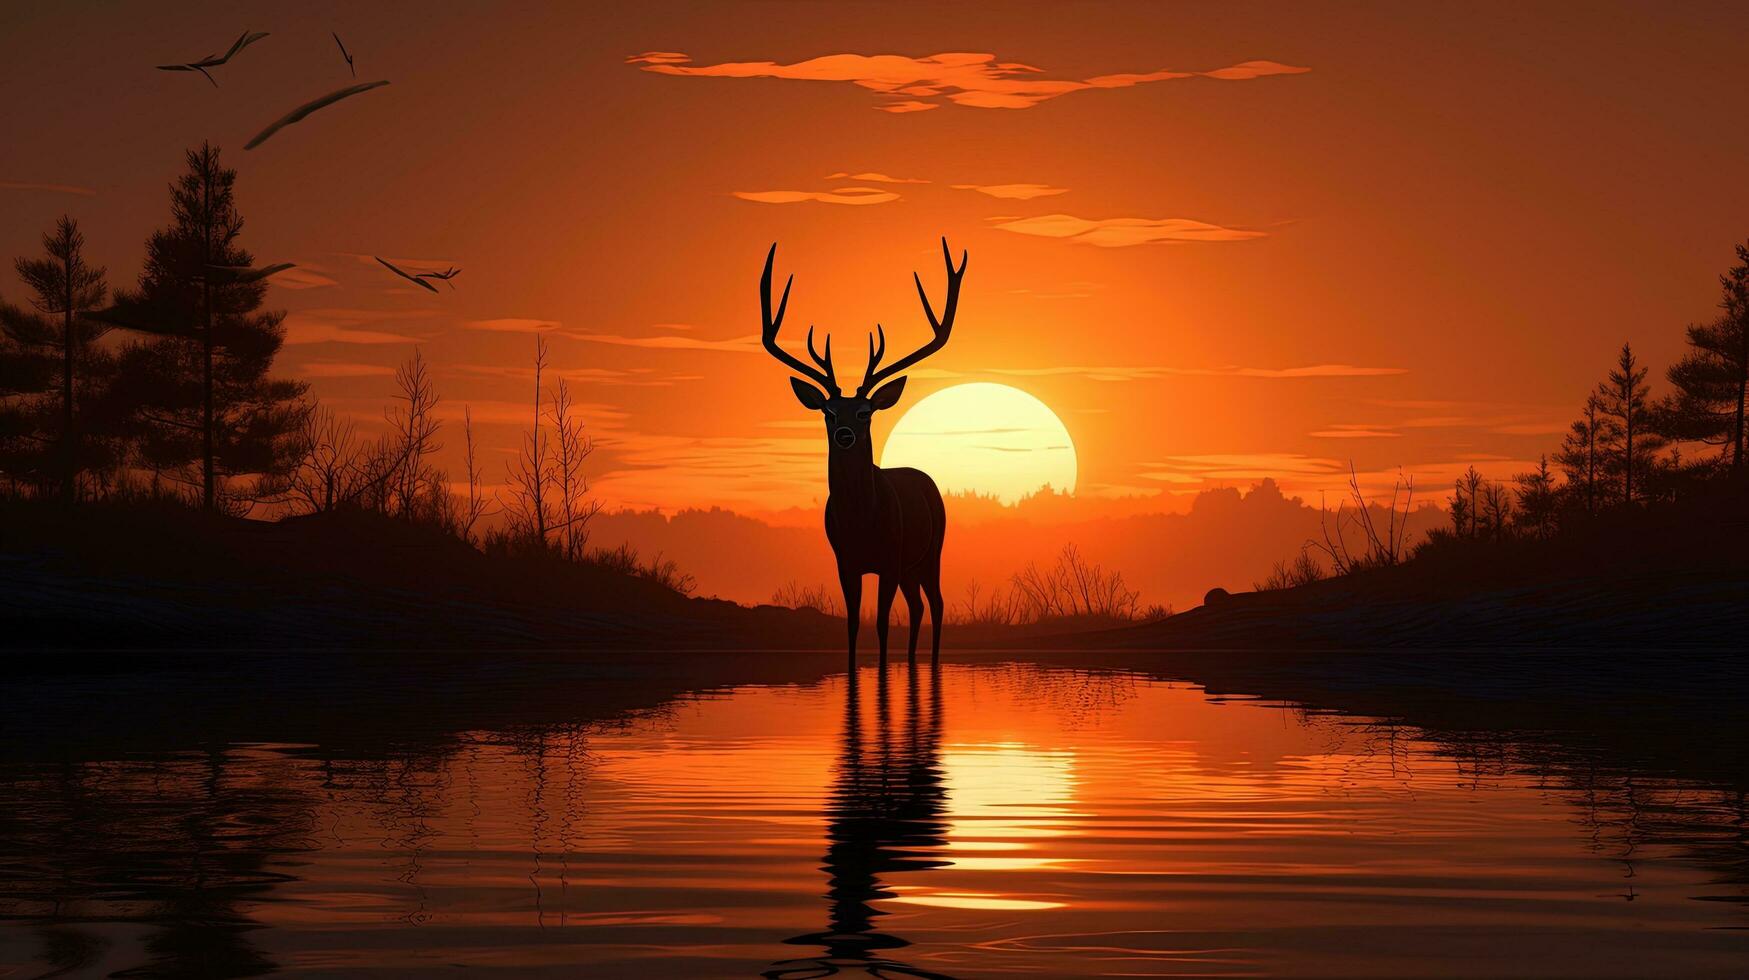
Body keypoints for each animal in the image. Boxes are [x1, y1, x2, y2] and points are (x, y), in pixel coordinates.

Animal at [760, 238, 967, 662]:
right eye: (828, 411)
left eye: (864, 411)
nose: (844, 434)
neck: (862, 521)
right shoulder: (845, 560)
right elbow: (854, 624)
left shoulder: (889, 557)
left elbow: (883, 622)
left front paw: (884, 670)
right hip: (909, 567)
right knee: (918, 605)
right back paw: (912, 661)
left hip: (931, 550)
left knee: (936, 602)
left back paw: (931, 661)